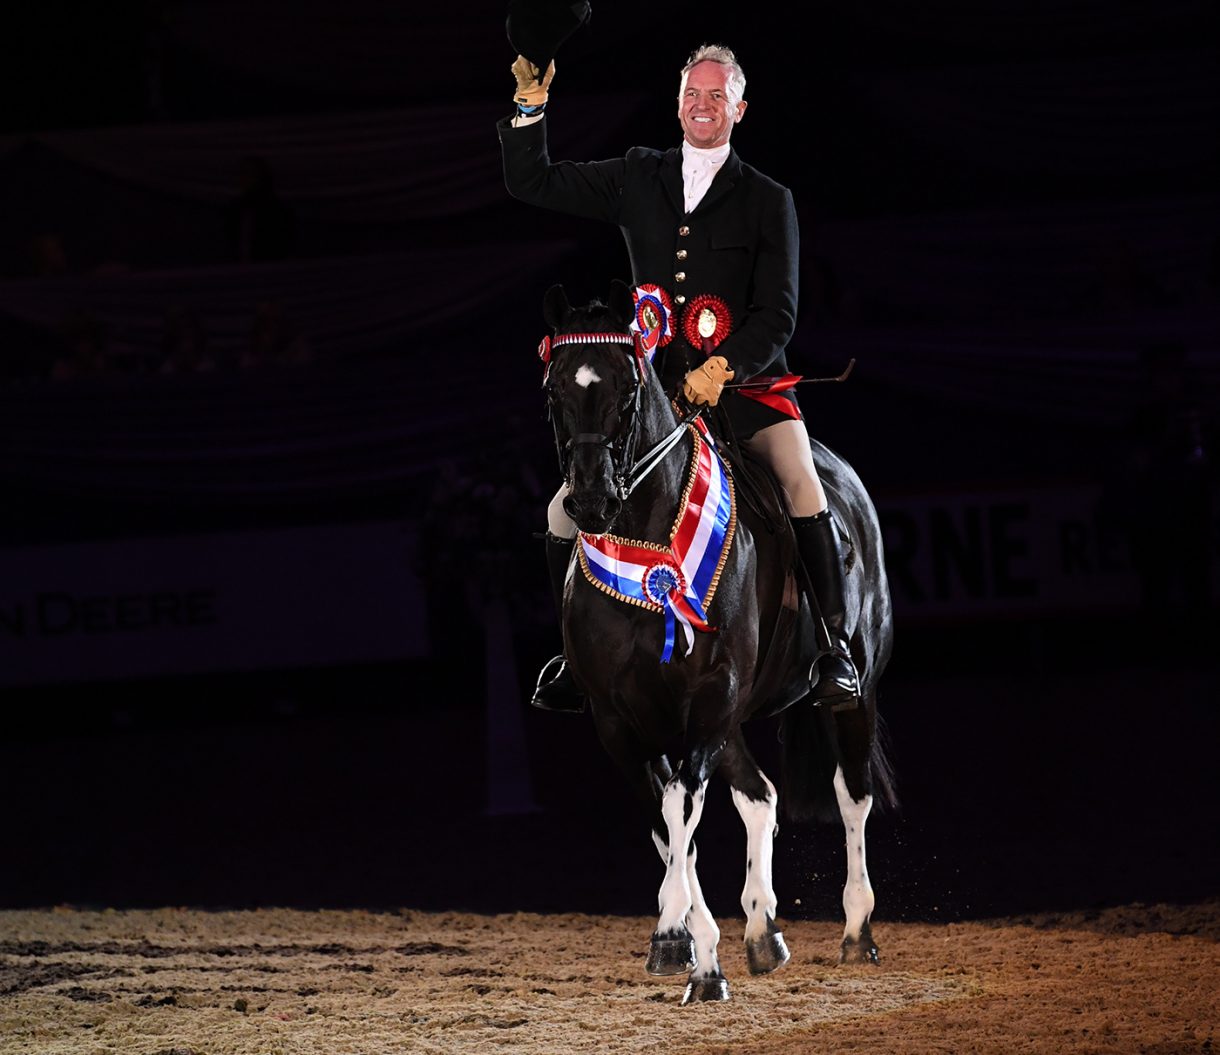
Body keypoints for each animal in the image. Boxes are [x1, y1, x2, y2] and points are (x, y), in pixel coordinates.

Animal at [539, 278, 897, 1004]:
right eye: (555, 389)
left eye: (629, 389)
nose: (589, 501)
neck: (647, 540)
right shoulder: (618, 720)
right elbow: (670, 823)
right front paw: (687, 944)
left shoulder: (708, 697)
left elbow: (683, 810)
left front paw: (685, 946)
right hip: (728, 719)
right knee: (759, 795)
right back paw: (762, 931)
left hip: (852, 692)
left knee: (852, 794)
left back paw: (857, 932)